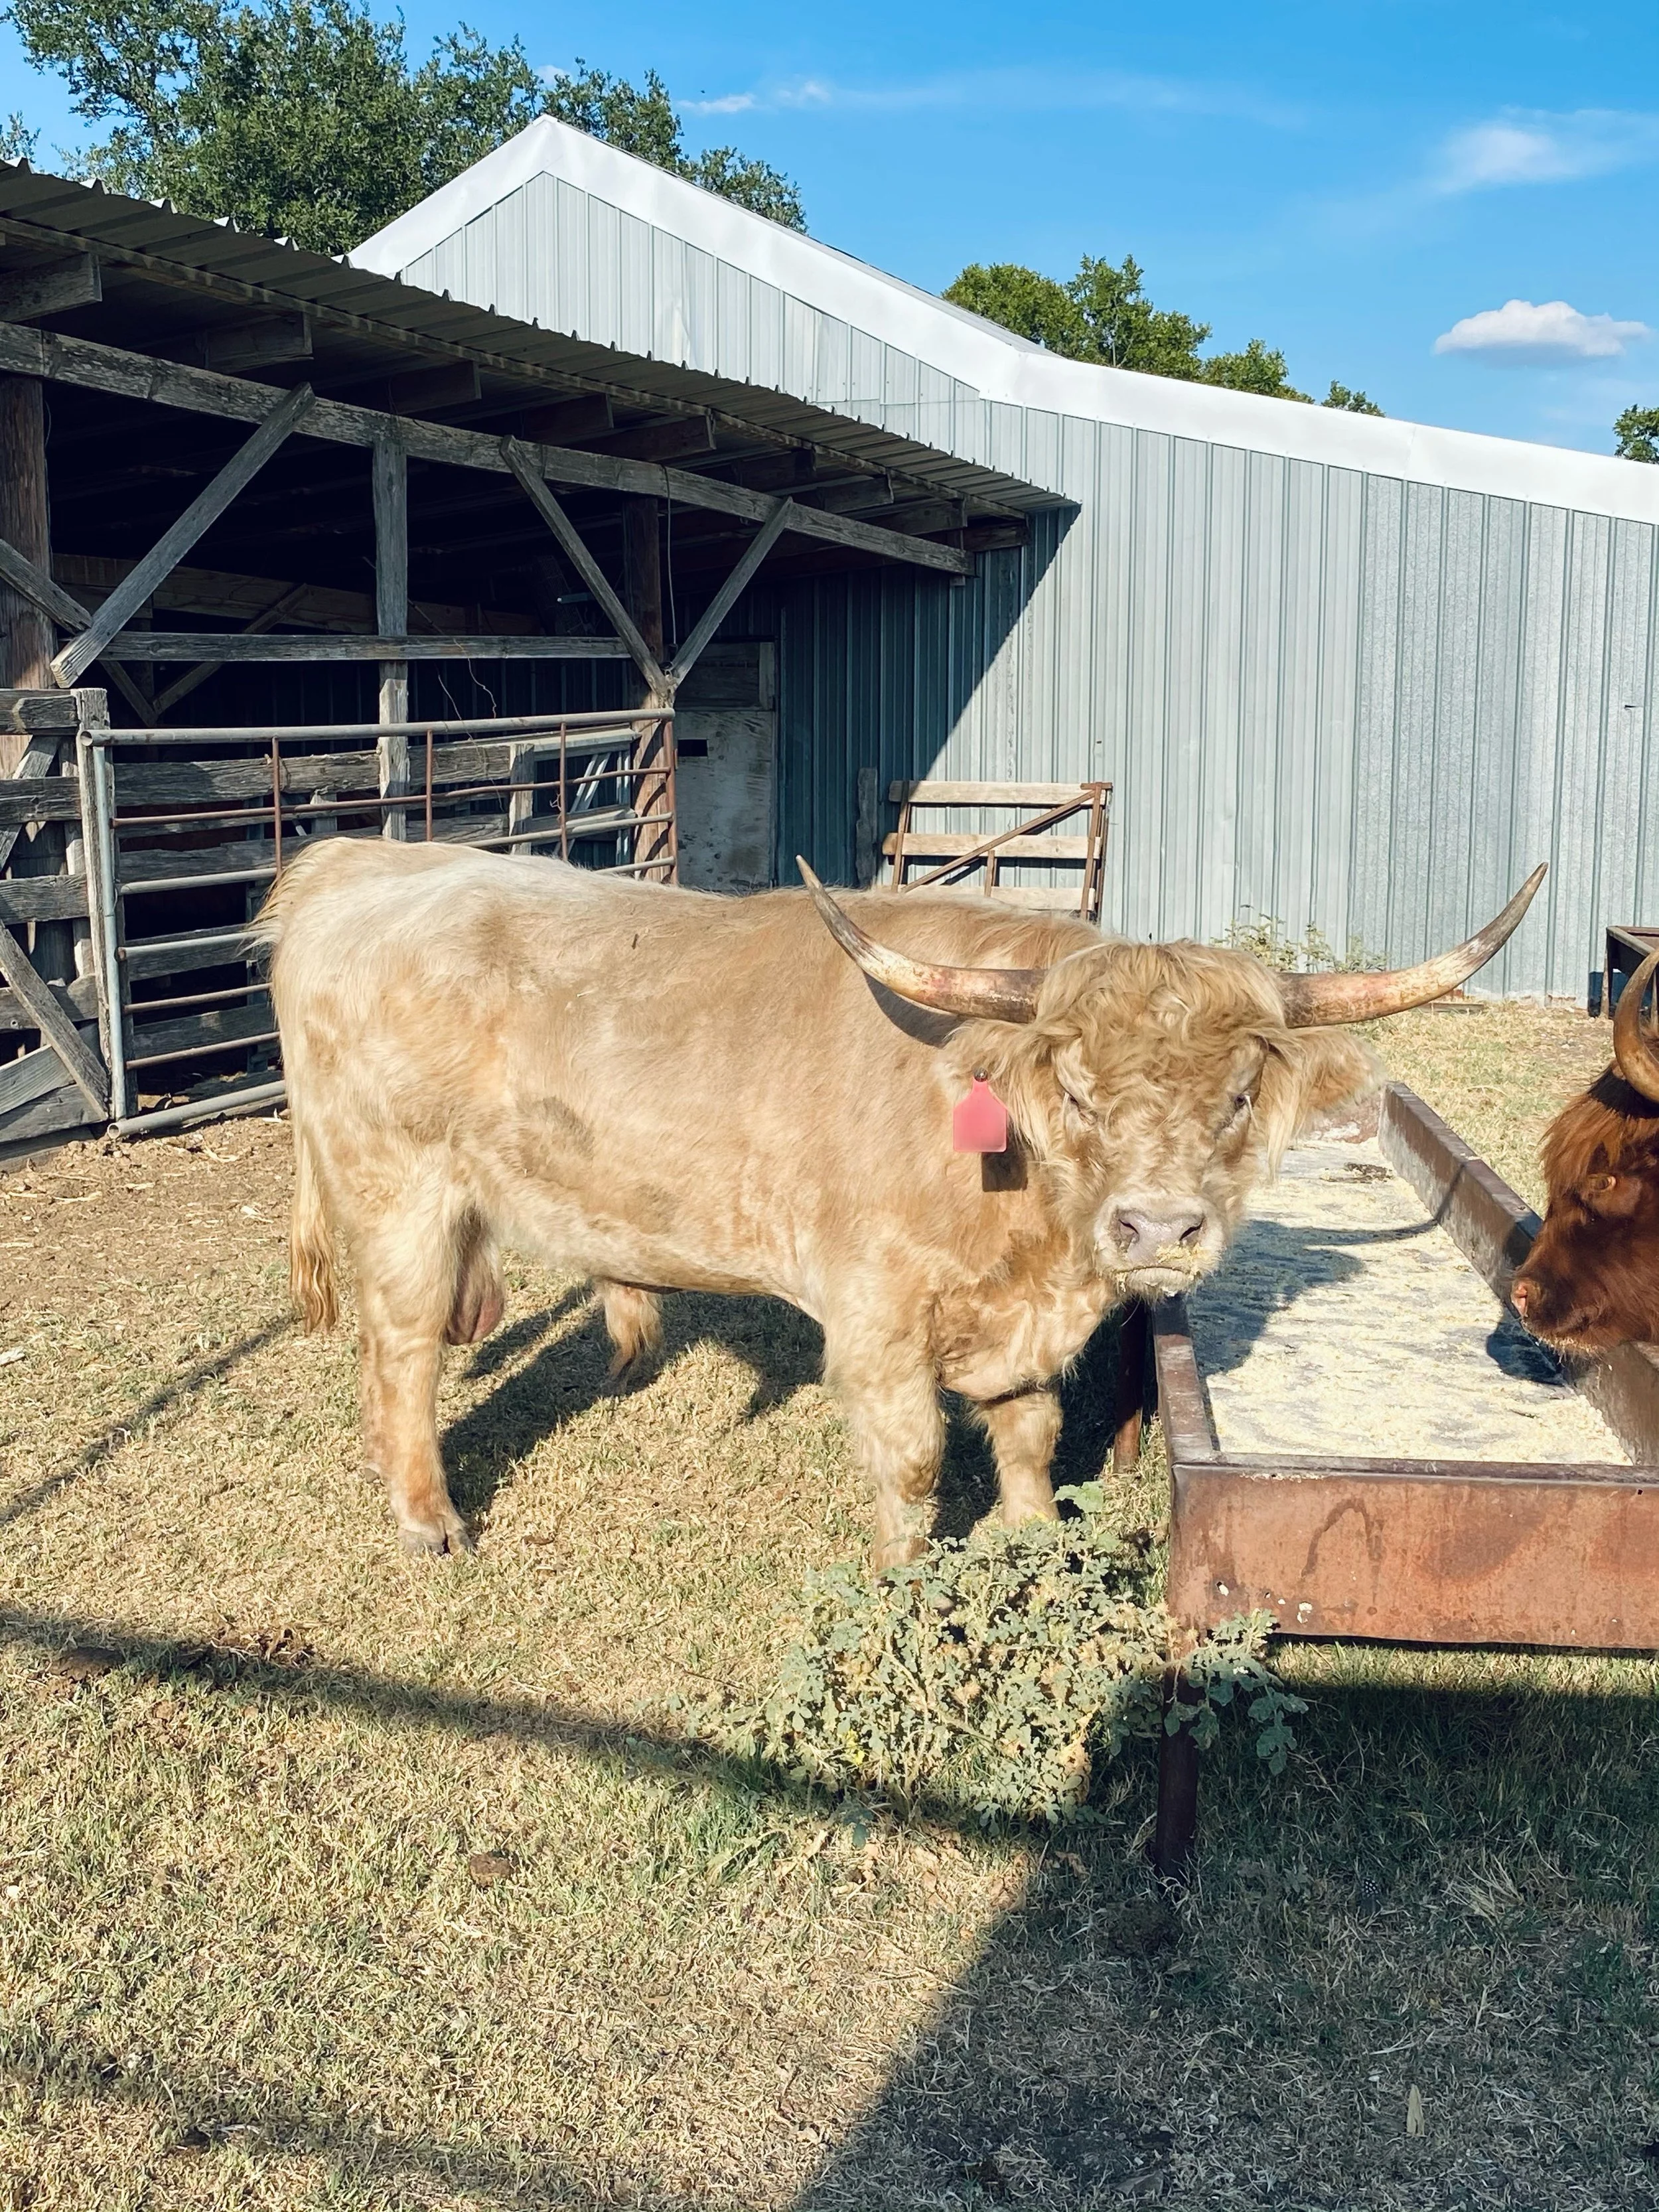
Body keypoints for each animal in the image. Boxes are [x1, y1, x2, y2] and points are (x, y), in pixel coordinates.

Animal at [256, 841, 1544, 1566]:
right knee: (401, 1352)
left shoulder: (1027, 1330)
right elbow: (918, 1461)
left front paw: (1029, 1538)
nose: (1158, 1230)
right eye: (1075, 1088)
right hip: (399, 1190)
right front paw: (902, 1579)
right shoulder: (874, 1317)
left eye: (1236, 1094)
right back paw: (428, 1519)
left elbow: (1029, 1433)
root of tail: (367, 862)